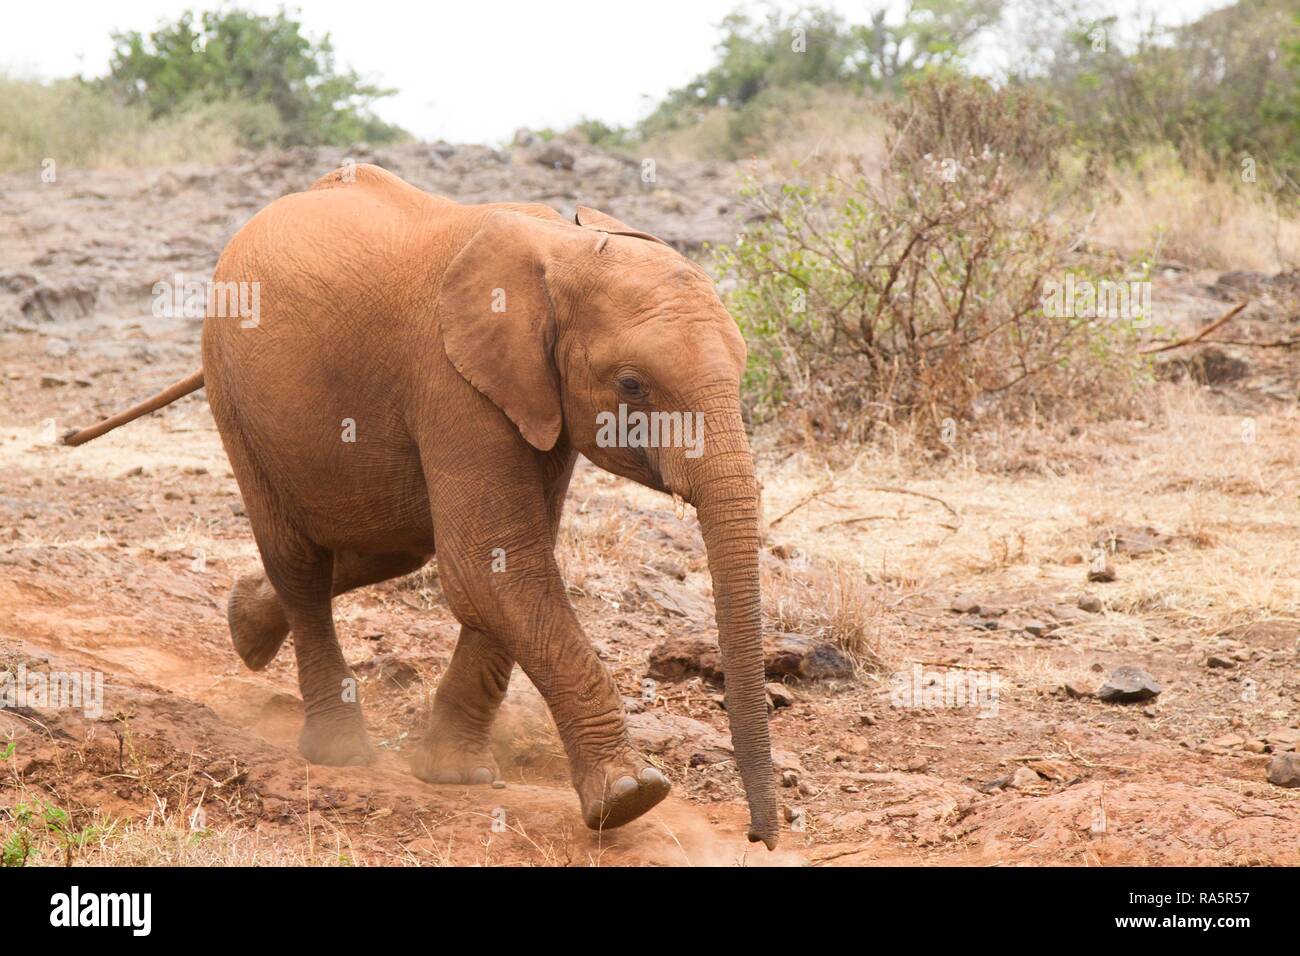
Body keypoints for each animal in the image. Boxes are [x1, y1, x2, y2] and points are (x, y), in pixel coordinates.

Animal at [63, 163, 779, 848]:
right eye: (632, 385)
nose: (759, 836)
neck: (562, 246)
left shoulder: (530, 395)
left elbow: (502, 564)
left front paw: (454, 776)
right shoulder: (453, 380)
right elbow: (491, 567)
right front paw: (630, 797)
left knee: (388, 544)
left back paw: (246, 624)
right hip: (231, 389)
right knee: (301, 561)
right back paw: (339, 751)